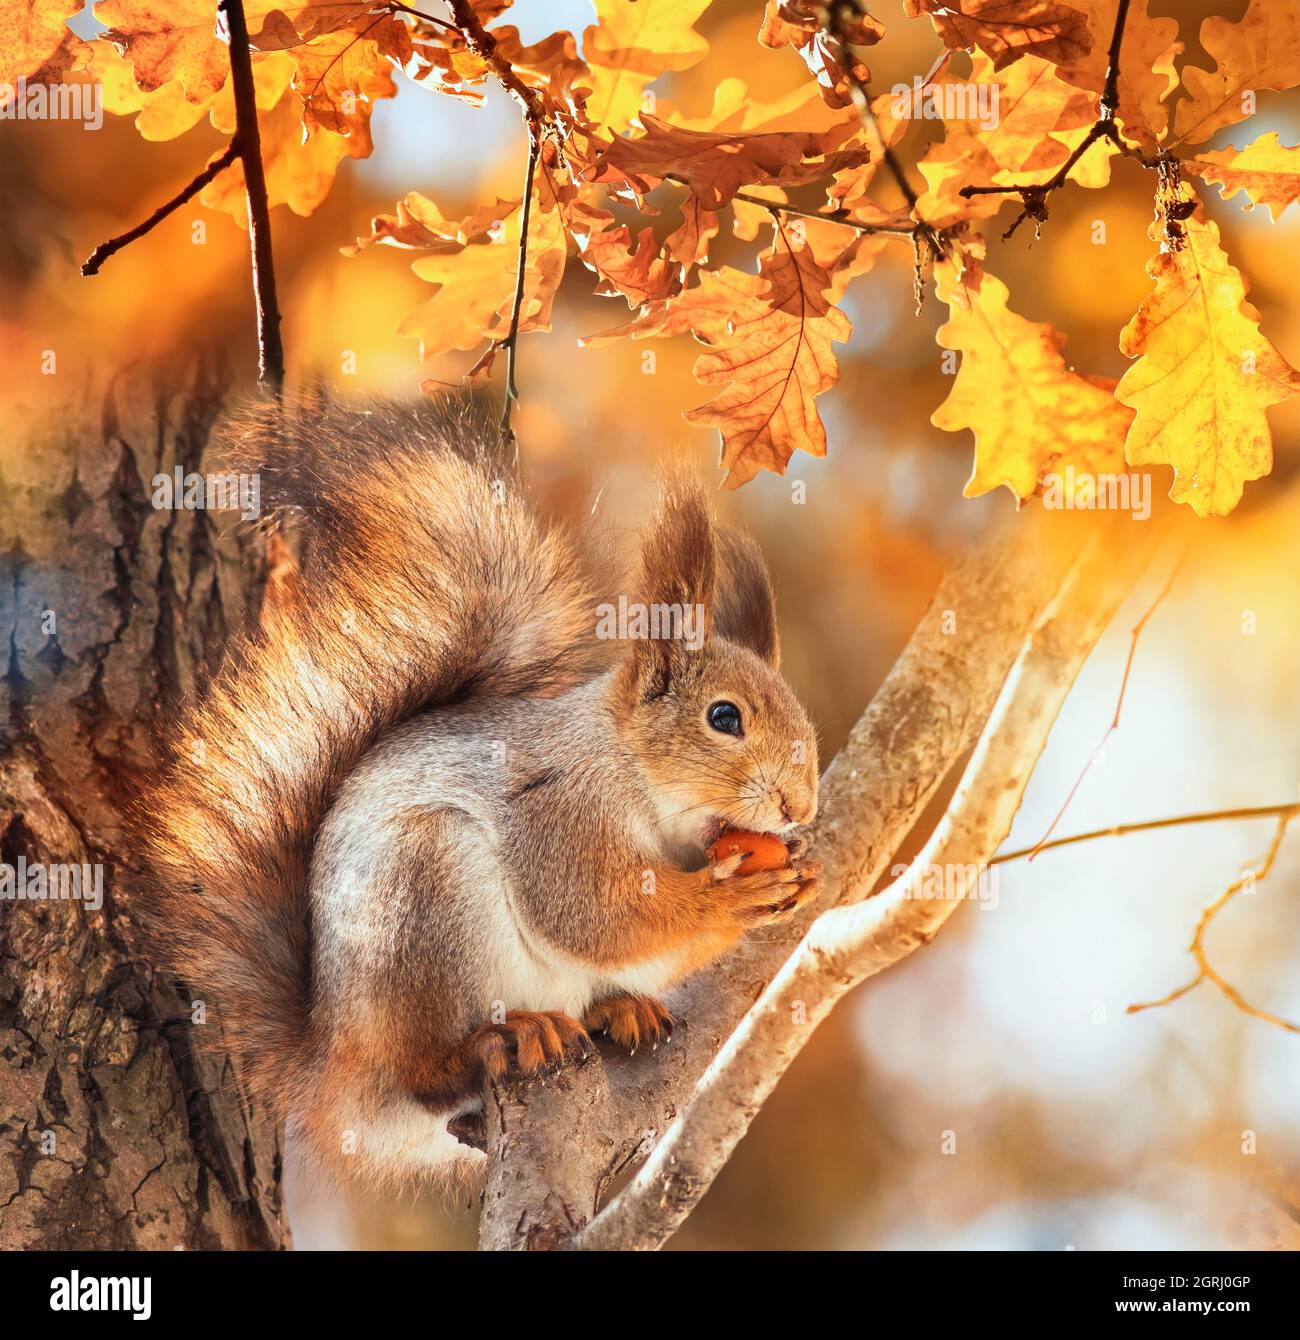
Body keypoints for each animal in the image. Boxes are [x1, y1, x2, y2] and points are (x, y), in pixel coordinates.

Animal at [141, 401, 822, 1185]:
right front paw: (728, 898)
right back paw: (495, 1041)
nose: (800, 807)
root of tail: (334, 1074)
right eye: (724, 718)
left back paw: (615, 1011)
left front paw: (799, 878)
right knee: (425, 1074)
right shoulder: (558, 810)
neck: (637, 778)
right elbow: (592, 914)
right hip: (424, 896)